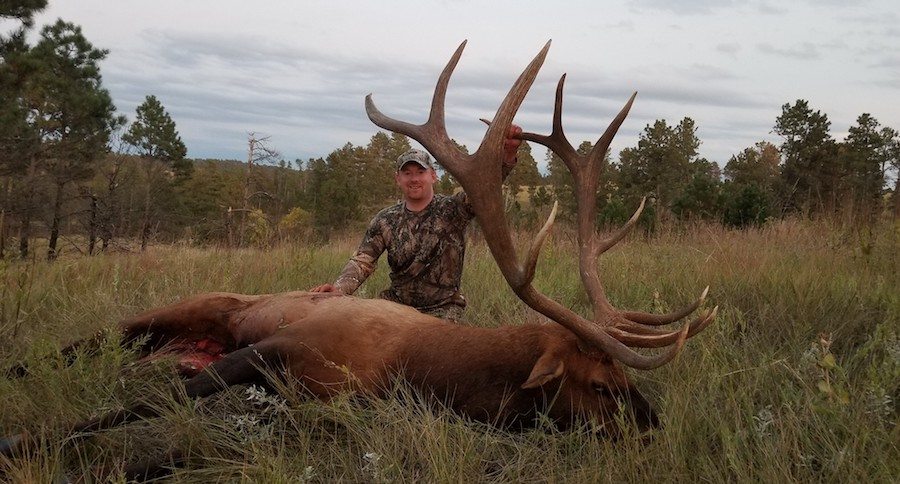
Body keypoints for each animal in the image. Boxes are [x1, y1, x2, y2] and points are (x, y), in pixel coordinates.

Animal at [1, 40, 716, 480]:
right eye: (602, 386)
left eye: (628, 383)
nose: (656, 430)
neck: (413, 371)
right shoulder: (272, 350)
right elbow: (126, 415)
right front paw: (22, 443)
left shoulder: (316, 414)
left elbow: (172, 444)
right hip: (182, 311)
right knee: (75, 345)